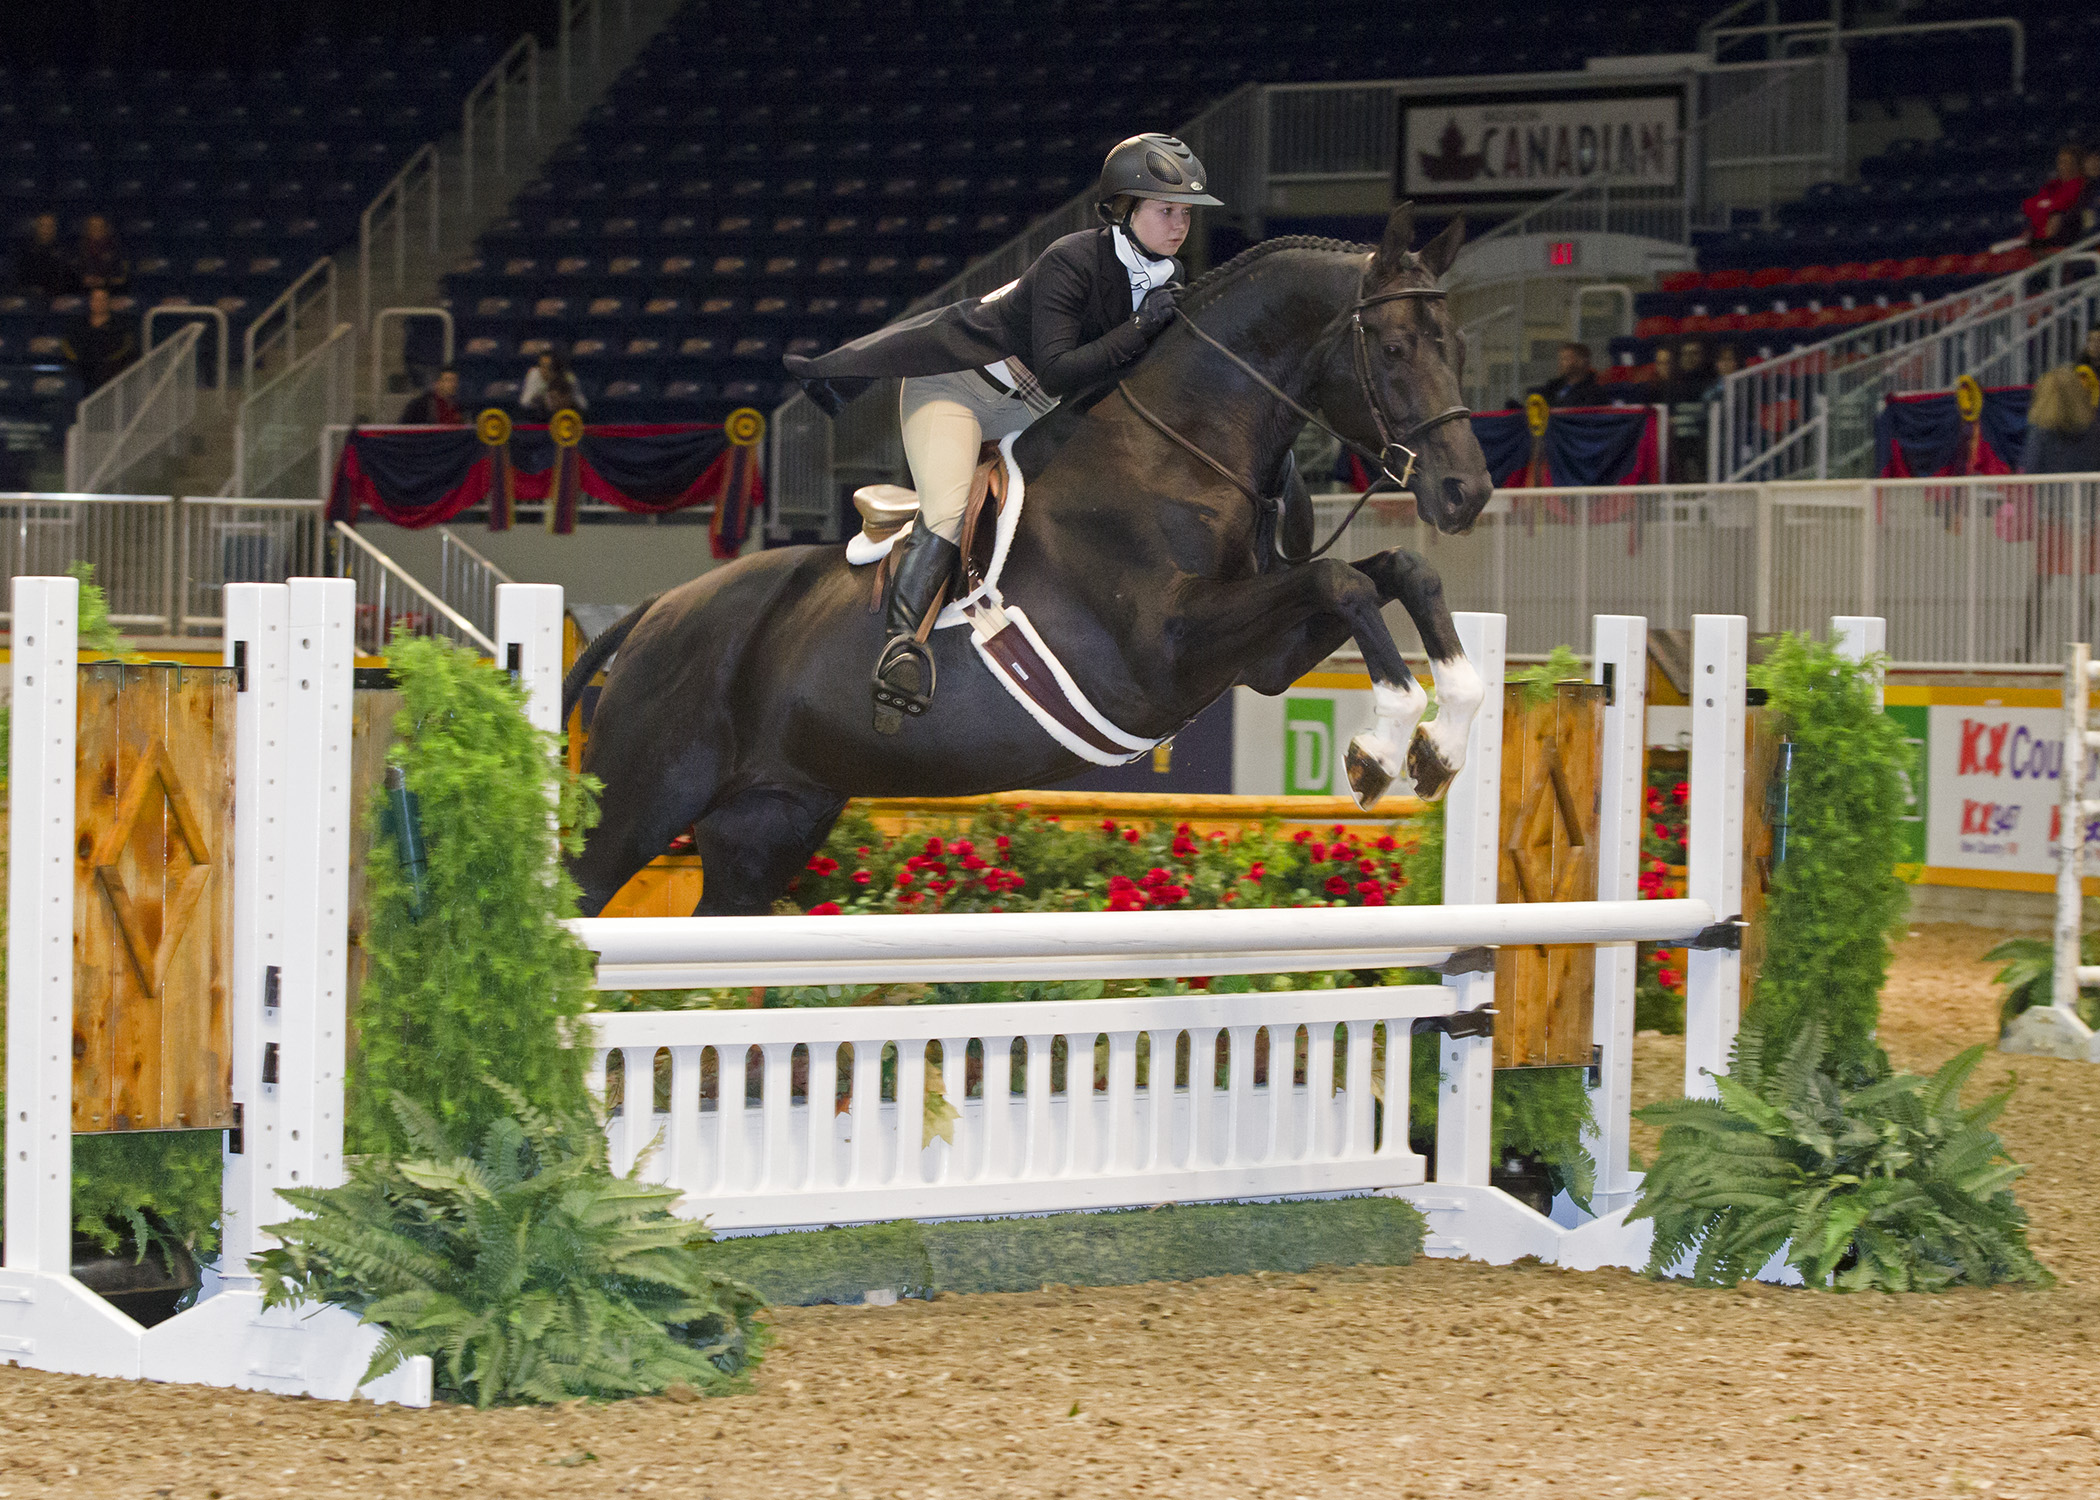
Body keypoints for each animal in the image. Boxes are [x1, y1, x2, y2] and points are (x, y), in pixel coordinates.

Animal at [562, 203, 1494, 917]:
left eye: (1457, 344)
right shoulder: (1165, 653)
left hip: (768, 824)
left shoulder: (1258, 656)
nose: (1466, 494)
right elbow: (1342, 580)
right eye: (1395, 349)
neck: (1180, 450)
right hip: (636, 805)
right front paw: (1381, 747)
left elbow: (1393, 576)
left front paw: (1440, 740)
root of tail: (652, 613)